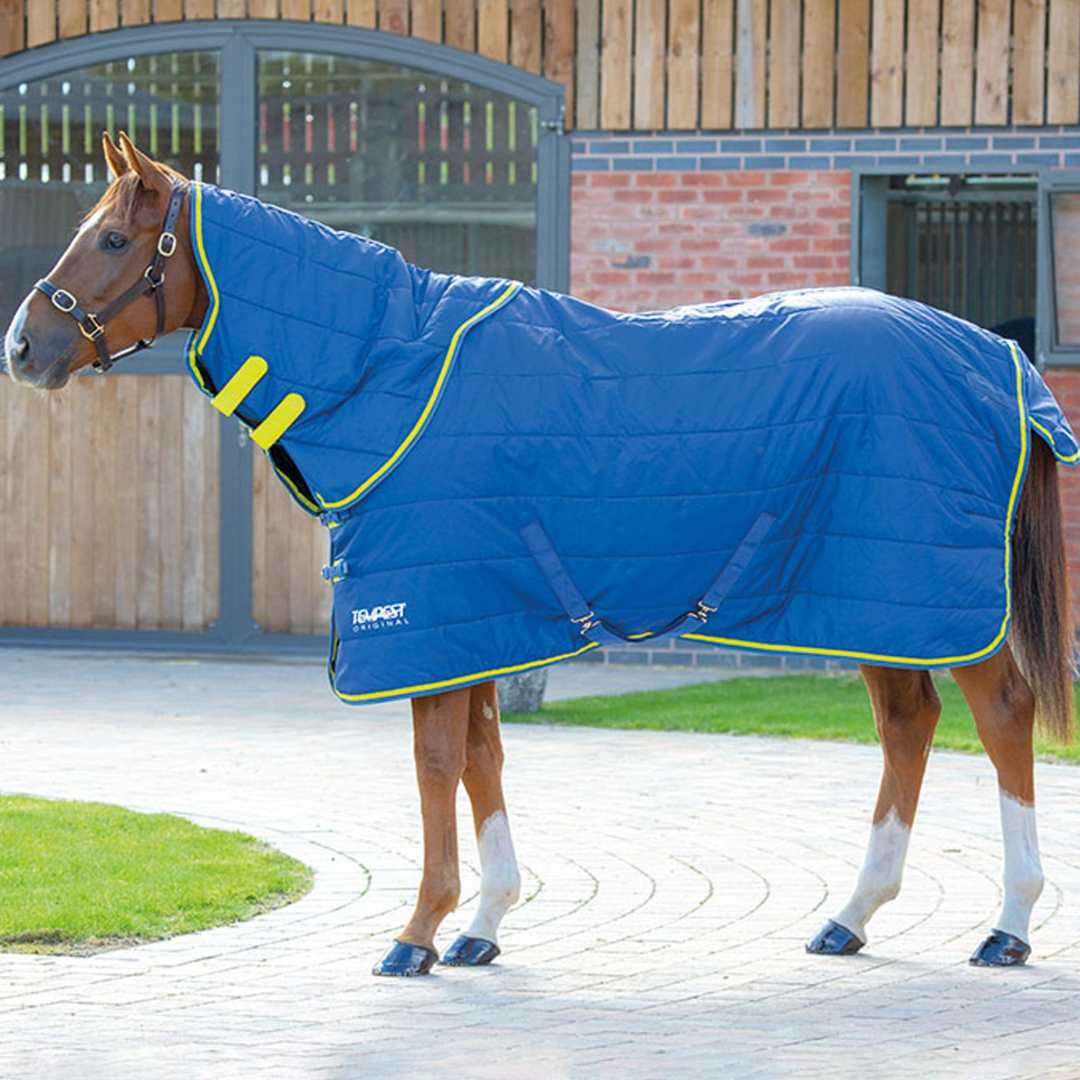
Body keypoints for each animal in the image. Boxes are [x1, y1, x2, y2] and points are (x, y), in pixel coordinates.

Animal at [3, 132, 1074, 976]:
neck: (390, 368)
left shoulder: (434, 613)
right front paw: (481, 923)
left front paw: (417, 933)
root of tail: (1000, 359)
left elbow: (437, 761)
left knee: (1003, 714)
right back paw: (851, 917)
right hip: (875, 598)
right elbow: (483, 754)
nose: (22, 346)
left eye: (111, 238)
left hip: (935, 598)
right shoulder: (481, 617)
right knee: (908, 723)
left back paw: (1009, 924)